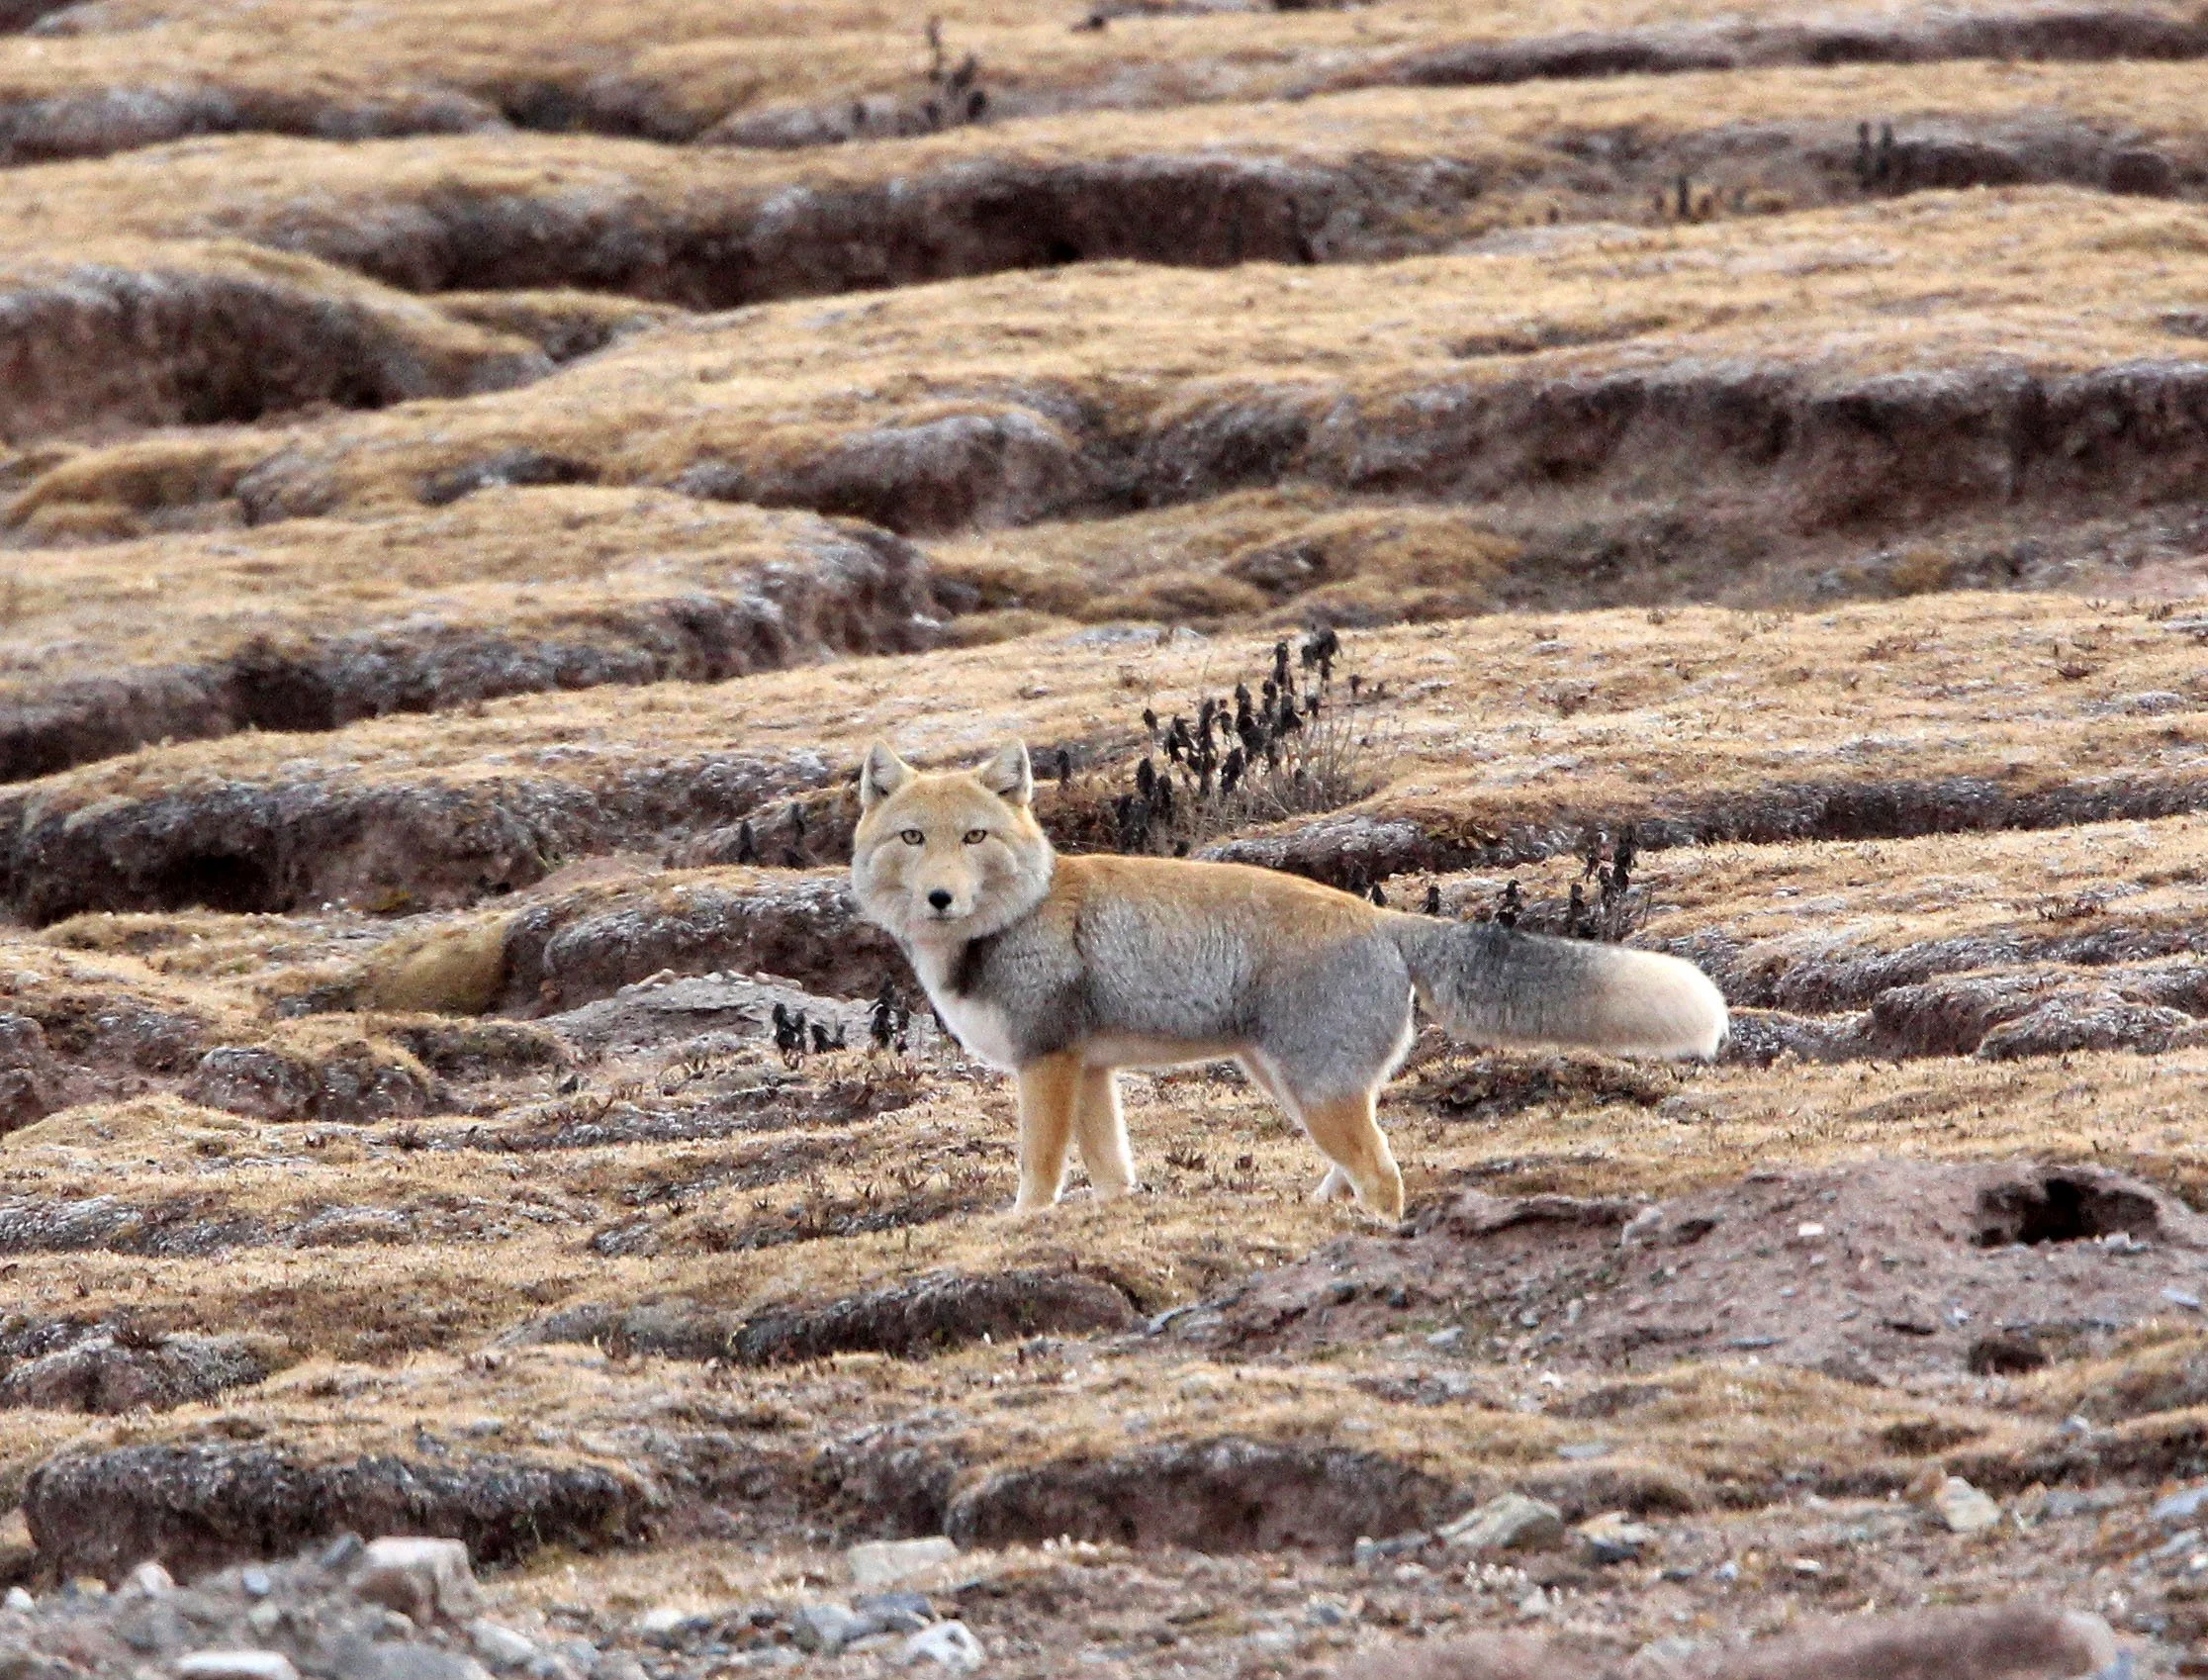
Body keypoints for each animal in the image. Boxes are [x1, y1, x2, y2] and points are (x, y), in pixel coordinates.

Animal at [849, 738, 1728, 1222]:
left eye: (975, 837)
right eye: (913, 838)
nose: (941, 897)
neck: (1014, 918)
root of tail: (1380, 921)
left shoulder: (1048, 1062)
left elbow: (1039, 1167)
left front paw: (1022, 1226)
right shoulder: (1091, 1069)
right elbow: (1111, 1174)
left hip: (1313, 1092)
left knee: (1383, 1176)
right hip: (1290, 1085)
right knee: (1359, 1168)